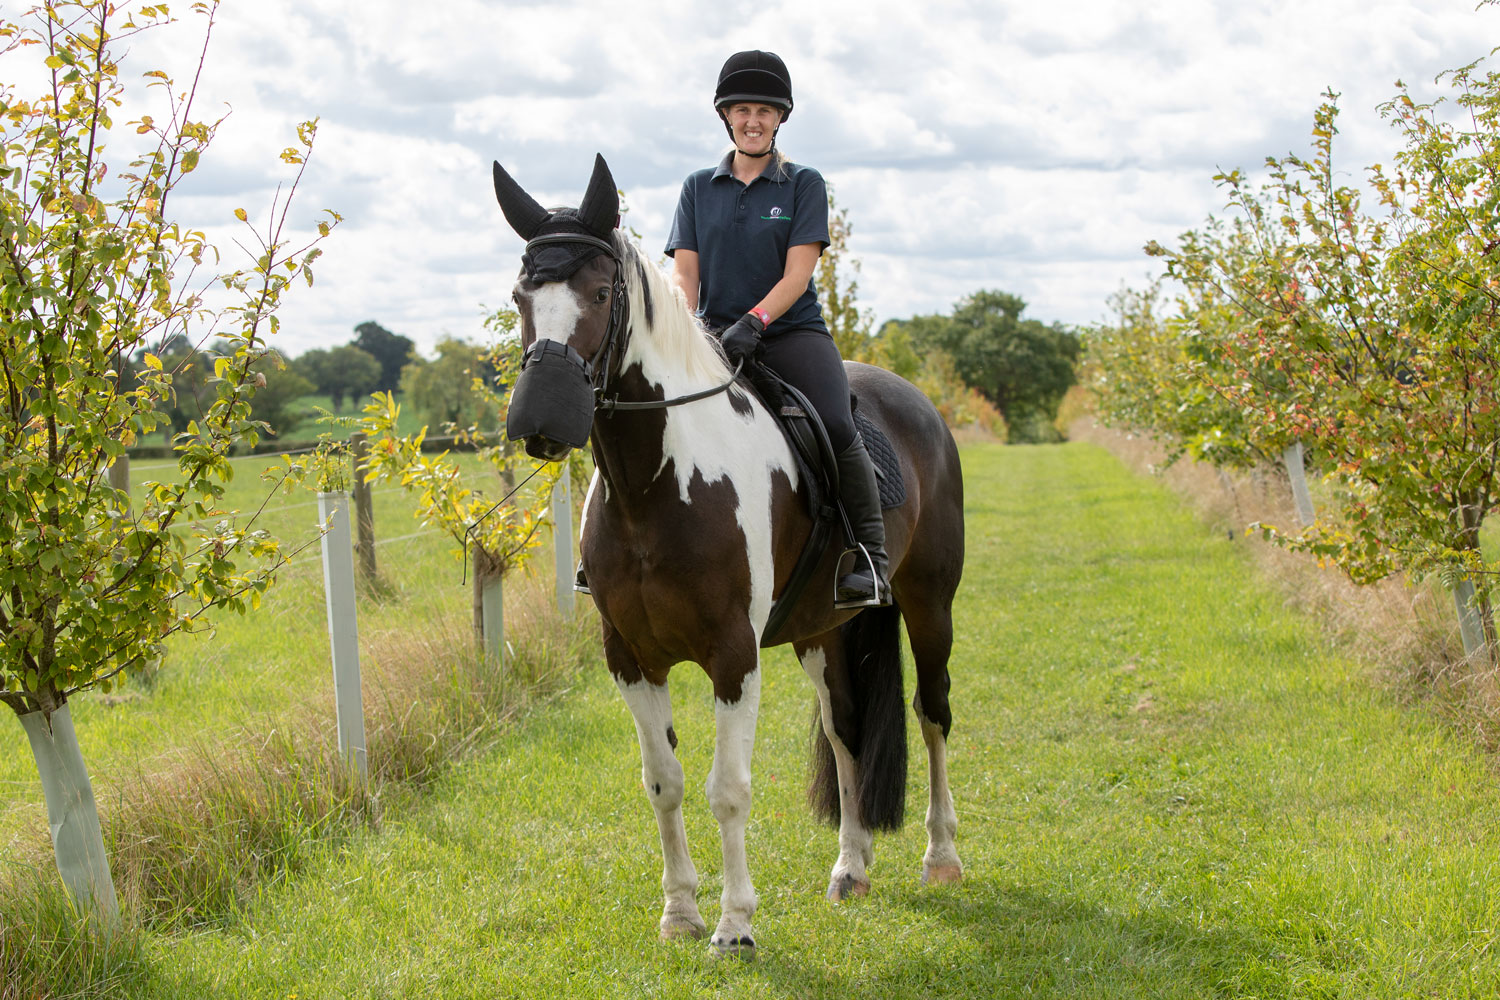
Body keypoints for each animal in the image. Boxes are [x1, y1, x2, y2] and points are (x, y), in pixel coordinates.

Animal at [494, 154, 965, 958]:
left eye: (599, 292)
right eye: (524, 293)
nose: (540, 424)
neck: (657, 485)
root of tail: (916, 402)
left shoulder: (733, 654)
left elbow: (728, 788)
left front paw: (735, 923)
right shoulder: (630, 657)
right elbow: (665, 781)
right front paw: (680, 914)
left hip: (930, 604)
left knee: (932, 714)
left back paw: (941, 856)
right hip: (820, 632)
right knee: (845, 729)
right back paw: (851, 867)